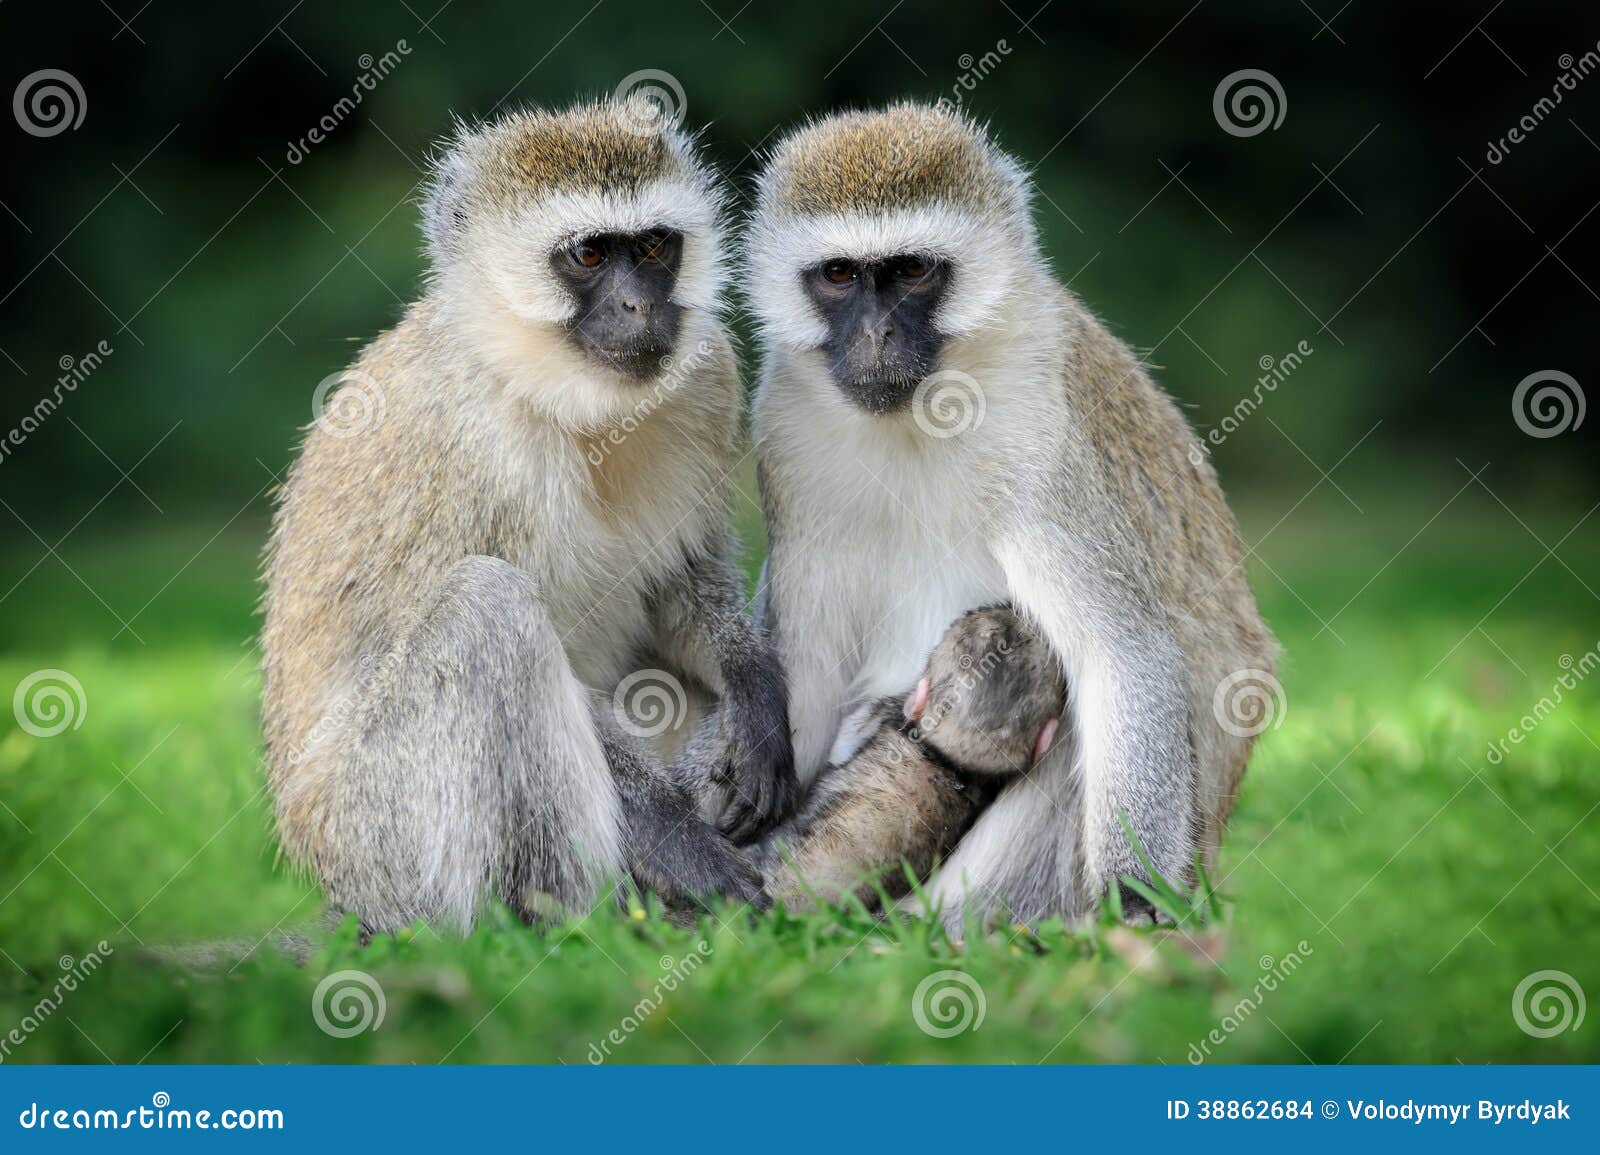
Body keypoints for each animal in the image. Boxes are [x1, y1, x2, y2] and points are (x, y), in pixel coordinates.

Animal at [260, 99, 797, 936]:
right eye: (589, 255)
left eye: (653, 246)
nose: (642, 306)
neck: (564, 400)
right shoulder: (470, 452)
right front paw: (677, 839)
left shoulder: (707, 375)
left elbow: (681, 583)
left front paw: (756, 685)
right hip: (379, 839)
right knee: (489, 609)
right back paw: (576, 920)